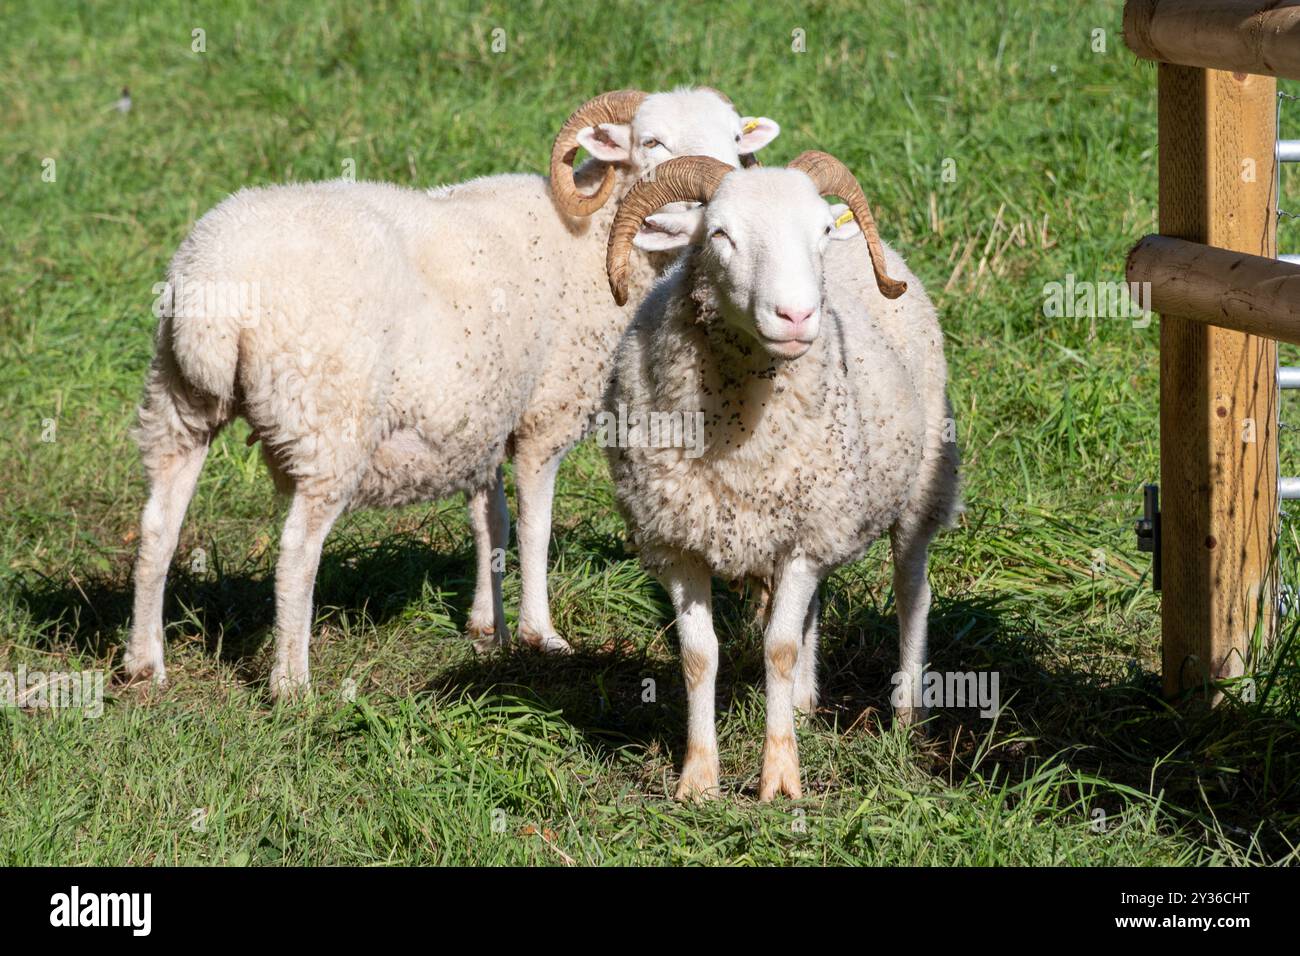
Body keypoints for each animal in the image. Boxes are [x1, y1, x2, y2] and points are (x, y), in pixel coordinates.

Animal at [125, 88, 780, 696]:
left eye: (734, 141)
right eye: (652, 142)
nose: (710, 200)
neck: (595, 241)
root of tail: (214, 290)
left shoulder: (479, 419)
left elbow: (491, 524)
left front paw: (489, 629)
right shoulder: (545, 413)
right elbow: (534, 526)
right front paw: (541, 634)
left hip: (179, 401)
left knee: (158, 527)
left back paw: (145, 664)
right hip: (328, 422)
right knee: (295, 552)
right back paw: (293, 684)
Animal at [601, 152, 960, 801]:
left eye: (817, 231)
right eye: (719, 234)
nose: (796, 315)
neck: (739, 439)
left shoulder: (802, 542)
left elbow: (780, 648)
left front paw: (781, 779)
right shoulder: (676, 542)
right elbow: (700, 656)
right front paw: (699, 779)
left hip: (921, 483)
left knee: (911, 591)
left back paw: (906, 715)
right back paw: (804, 704)